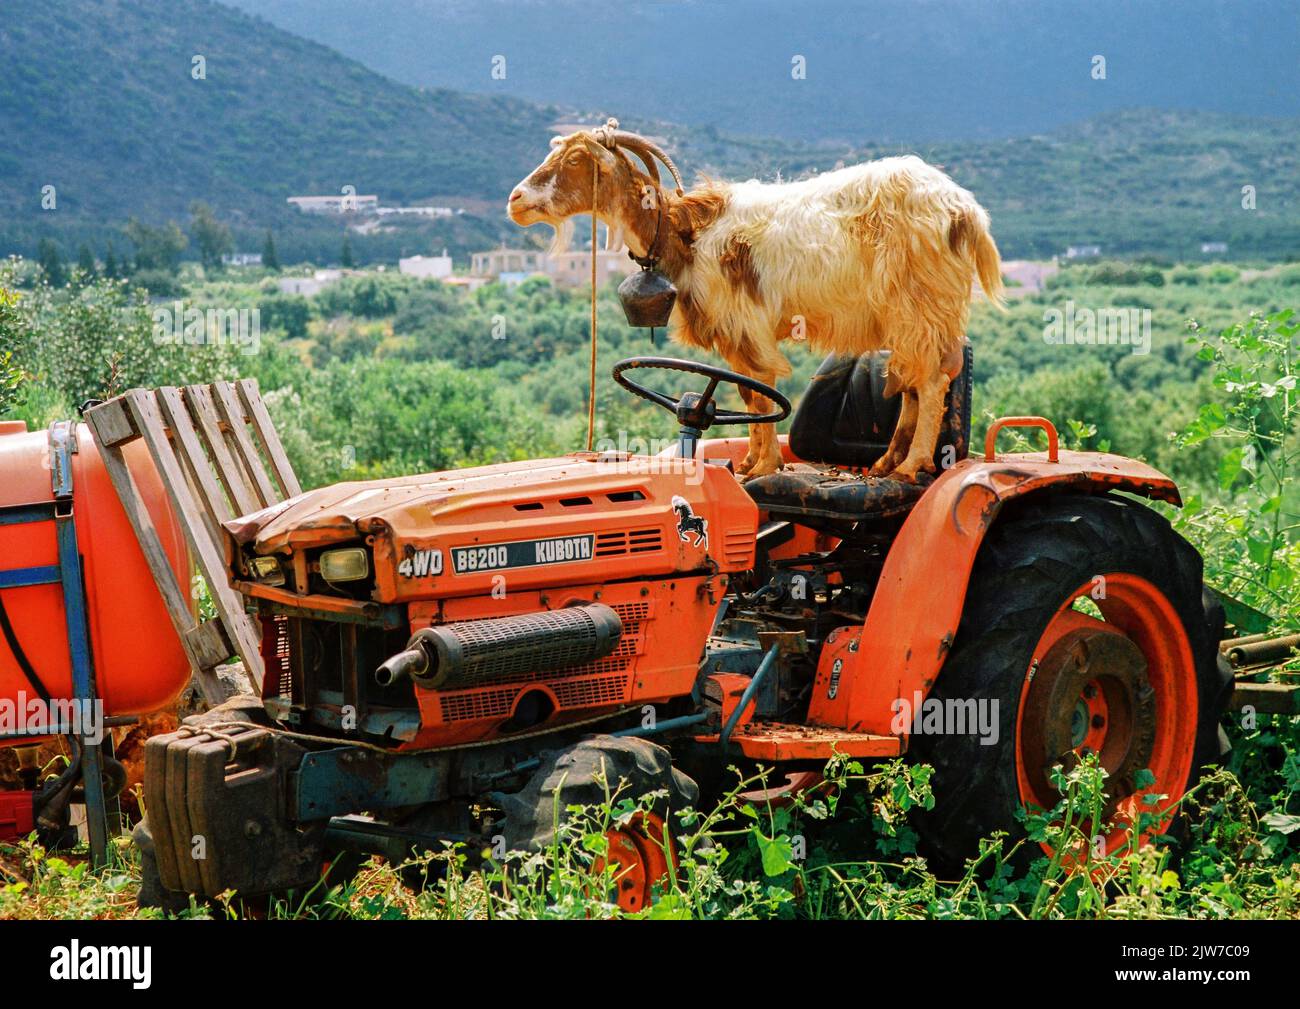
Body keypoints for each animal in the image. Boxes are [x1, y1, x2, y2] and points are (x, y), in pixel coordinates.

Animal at [508, 123, 1003, 481]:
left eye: (575, 159)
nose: (516, 199)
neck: (688, 231)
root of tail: (966, 210)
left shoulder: (745, 321)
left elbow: (760, 390)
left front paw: (763, 467)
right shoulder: (732, 332)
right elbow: (747, 392)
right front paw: (749, 463)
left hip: (919, 302)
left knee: (933, 380)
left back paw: (909, 466)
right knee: (913, 380)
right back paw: (886, 463)